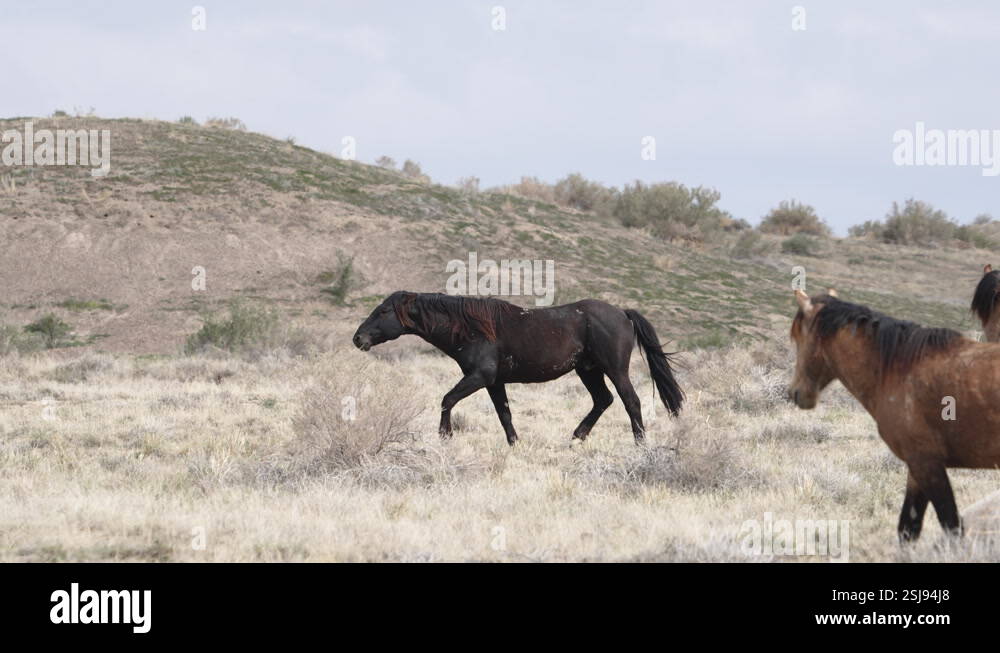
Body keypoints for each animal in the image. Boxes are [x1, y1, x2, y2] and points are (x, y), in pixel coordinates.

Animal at [352, 291, 684, 446]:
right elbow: (504, 414)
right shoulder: (494, 382)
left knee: (631, 401)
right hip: (588, 370)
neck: (472, 328)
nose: (358, 338)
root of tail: (623, 313)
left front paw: (445, 436)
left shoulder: (478, 376)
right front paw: (515, 444)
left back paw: (639, 443)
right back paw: (576, 437)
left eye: (383, 311)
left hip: (614, 369)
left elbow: (447, 400)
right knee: (604, 400)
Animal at [789, 288, 1000, 541]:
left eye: (797, 336)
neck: (898, 368)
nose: (795, 392)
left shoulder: (926, 465)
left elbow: (951, 526)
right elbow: (907, 528)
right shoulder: (917, 469)